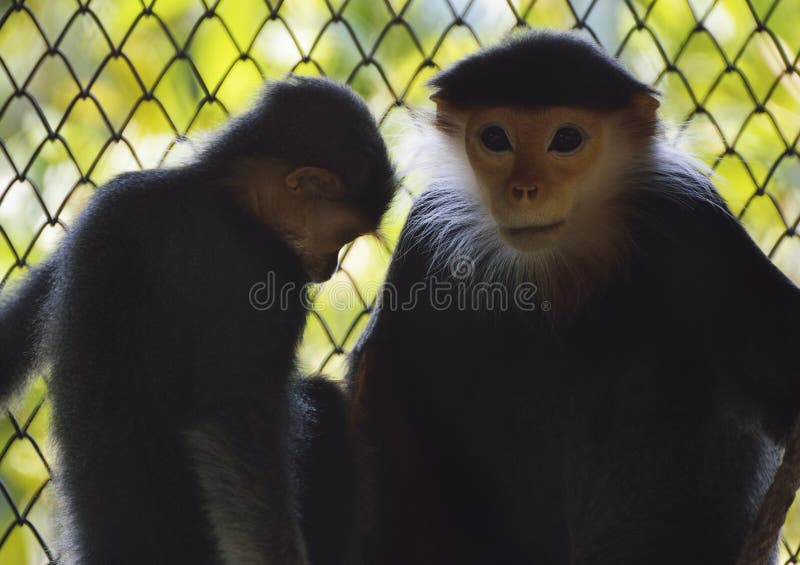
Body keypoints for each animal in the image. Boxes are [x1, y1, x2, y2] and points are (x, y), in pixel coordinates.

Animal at [0, 75, 396, 565]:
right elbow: (228, 418)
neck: (217, 191)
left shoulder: (118, 201)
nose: (330, 267)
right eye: (342, 237)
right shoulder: (271, 272)